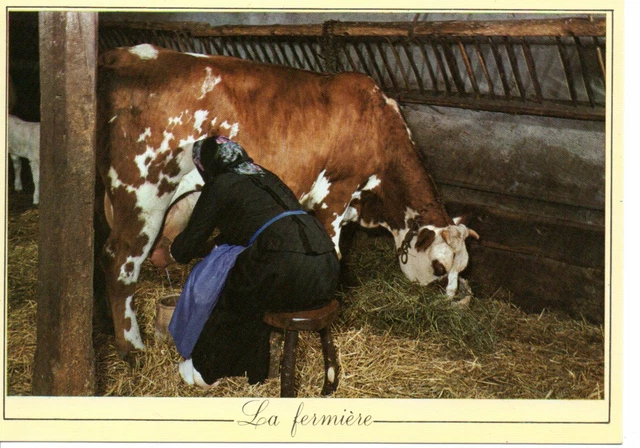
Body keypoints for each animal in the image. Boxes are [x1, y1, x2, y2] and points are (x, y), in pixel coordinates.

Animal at [97, 43, 478, 356]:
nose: (449, 303)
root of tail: (126, 55)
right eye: (439, 267)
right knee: (120, 264)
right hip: (143, 194)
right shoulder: (334, 195)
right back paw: (132, 347)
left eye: (462, 269)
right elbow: (335, 254)